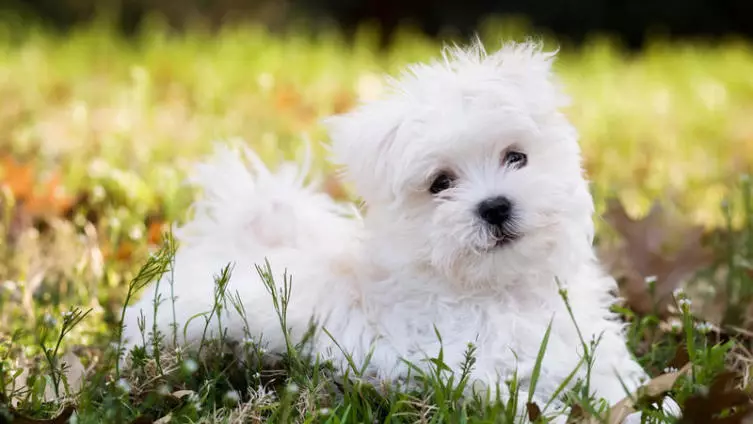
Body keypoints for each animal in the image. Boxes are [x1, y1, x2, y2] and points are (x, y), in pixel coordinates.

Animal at [123, 40, 656, 420]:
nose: (495, 207)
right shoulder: (484, 377)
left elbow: (616, 385)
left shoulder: (586, 346)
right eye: (441, 184)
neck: (503, 289)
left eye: (516, 157)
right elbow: (541, 406)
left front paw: (656, 404)